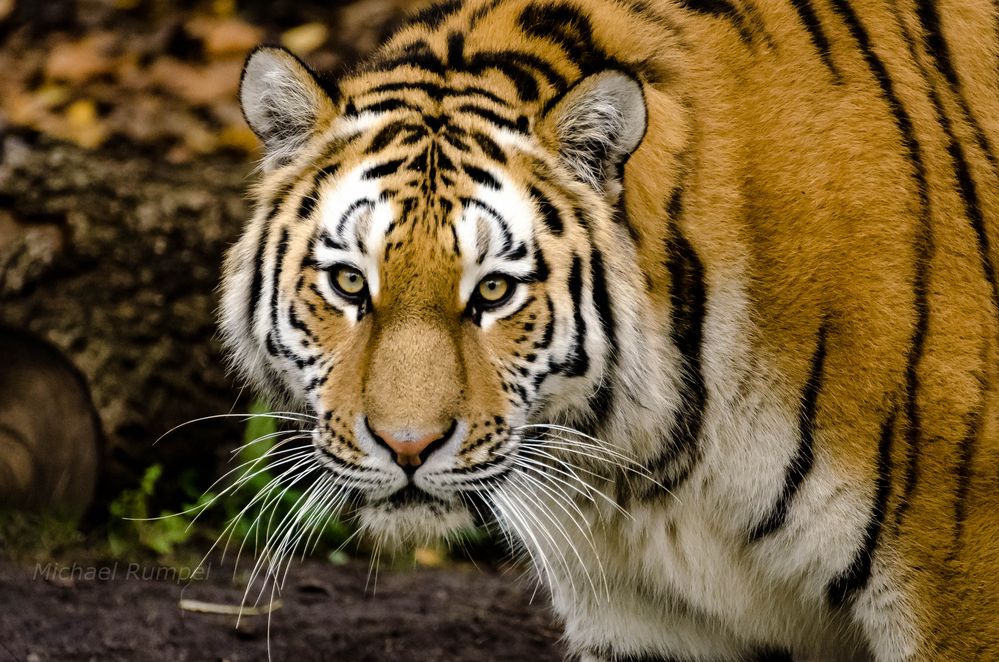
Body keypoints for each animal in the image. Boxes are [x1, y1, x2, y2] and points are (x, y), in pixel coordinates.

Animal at [218, 0, 999, 658]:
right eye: (350, 283)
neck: (649, 461)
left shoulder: (952, 589)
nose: (407, 447)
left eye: (494, 291)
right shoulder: (642, 617)